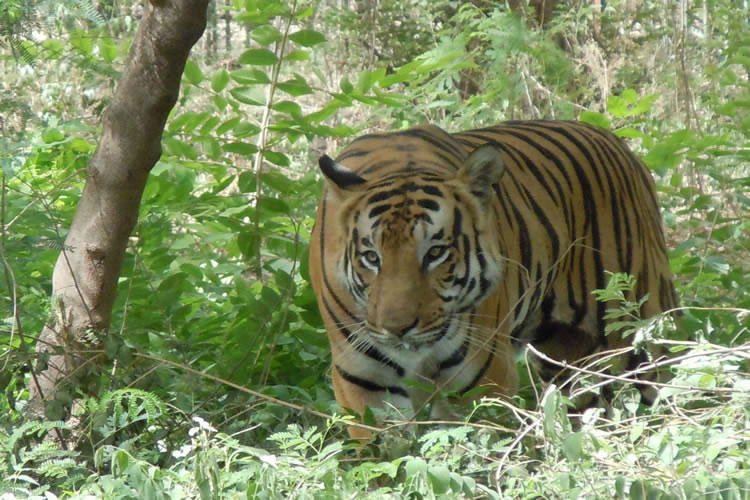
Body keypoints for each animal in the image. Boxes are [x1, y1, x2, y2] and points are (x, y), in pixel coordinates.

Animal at [308, 120, 678, 440]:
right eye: (372, 257)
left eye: (435, 253)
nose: (397, 329)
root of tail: (613, 138)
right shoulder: (365, 384)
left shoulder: (481, 380)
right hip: (562, 354)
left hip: (641, 327)